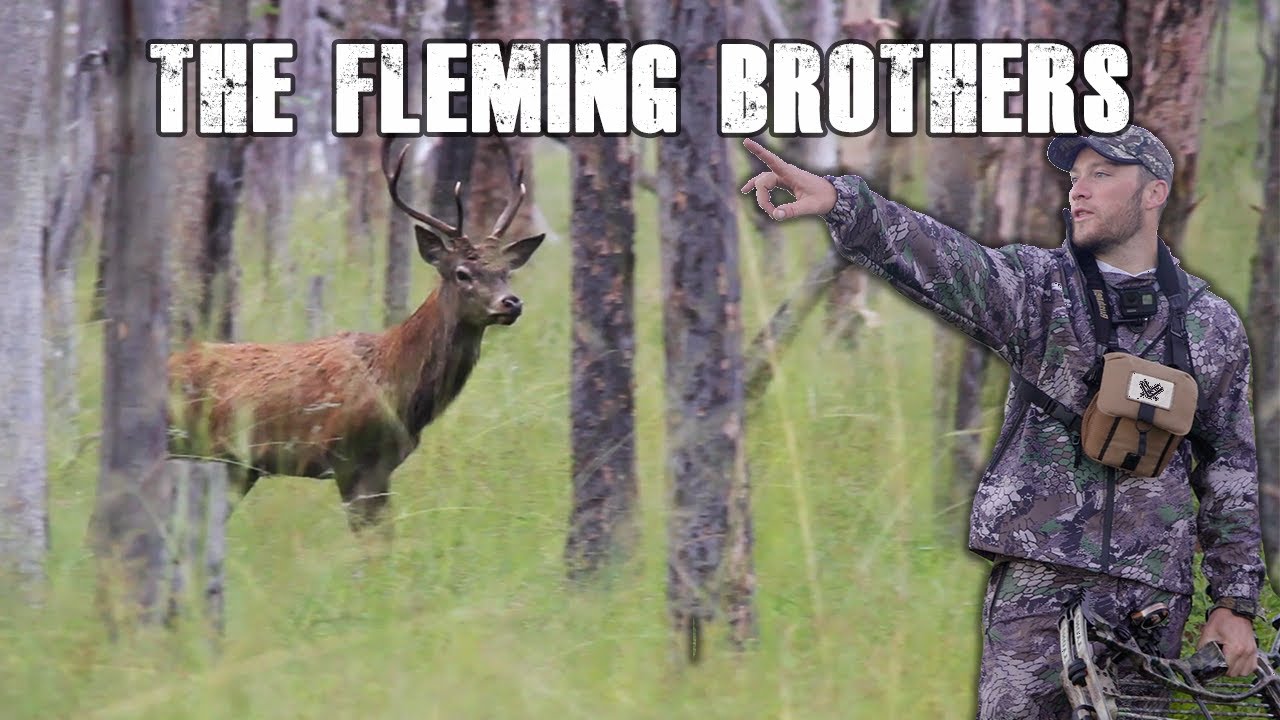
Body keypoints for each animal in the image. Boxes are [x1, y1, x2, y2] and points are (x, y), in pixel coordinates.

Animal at [168, 138, 544, 534]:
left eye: (505, 271)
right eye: (462, 273)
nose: (511, 303)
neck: (396, 384)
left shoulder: (381, 464)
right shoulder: (347, 457)